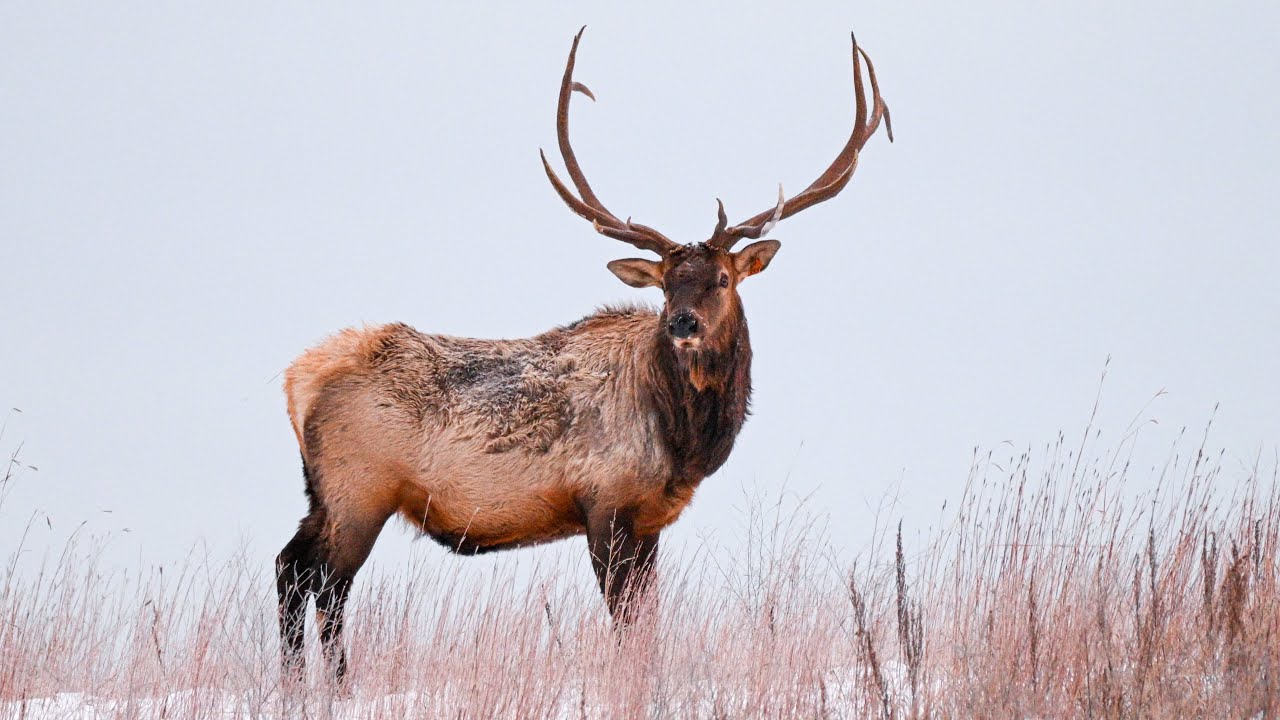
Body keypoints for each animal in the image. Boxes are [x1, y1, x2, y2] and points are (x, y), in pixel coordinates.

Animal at [276, 28, 890, 681]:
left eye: (722, 278)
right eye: (666, 283)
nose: (682, 322)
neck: (682, 438)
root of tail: (298, 380)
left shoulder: (647, 519)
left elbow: (645, 623)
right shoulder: (605, 504)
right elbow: (624, 624)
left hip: (324, 493)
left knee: (290, 569)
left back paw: (292, 684)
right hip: (358, 489)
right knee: (326, 587)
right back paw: (336, 684)